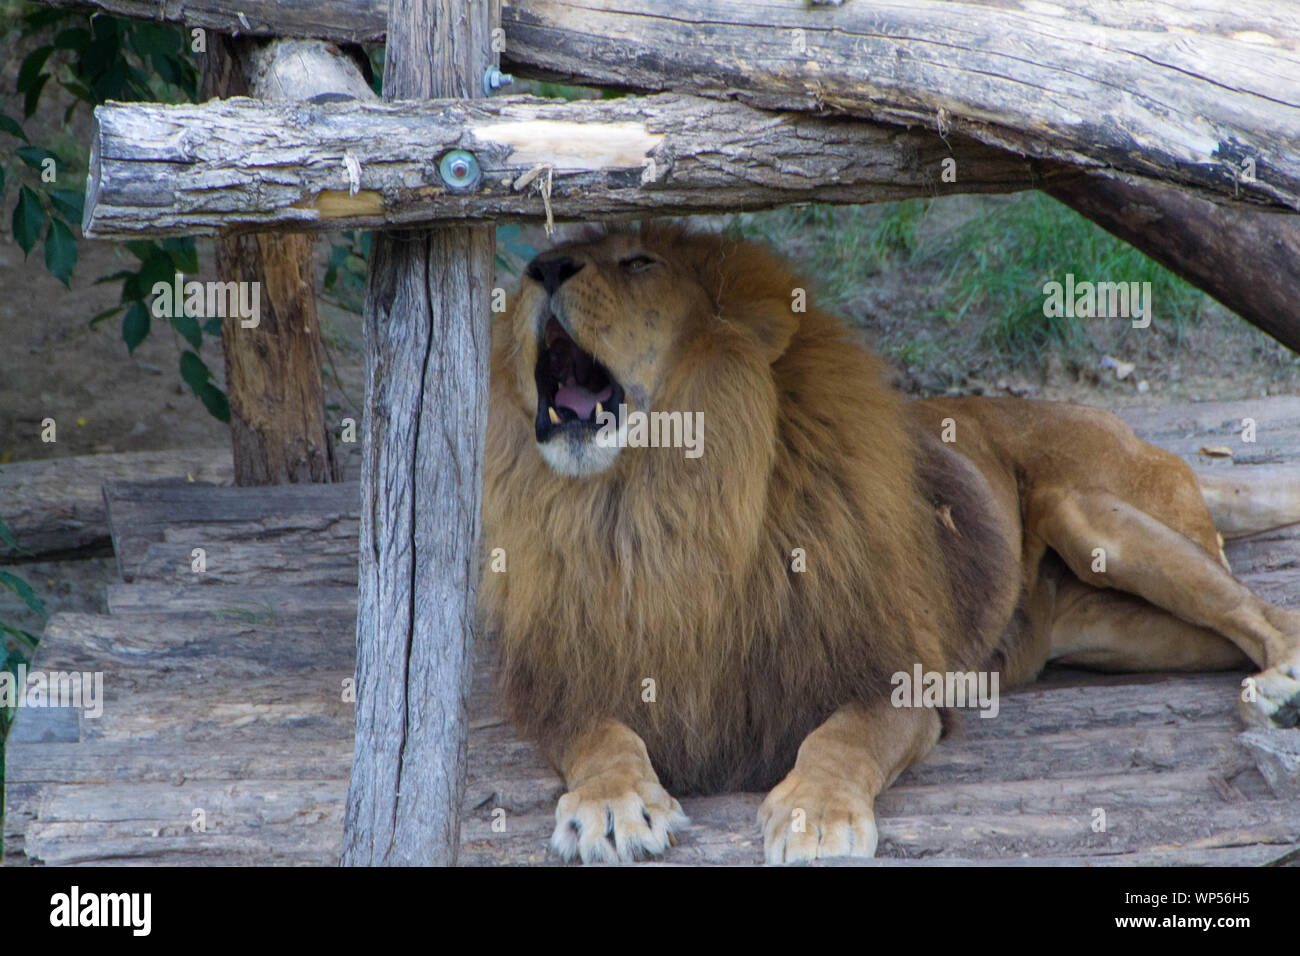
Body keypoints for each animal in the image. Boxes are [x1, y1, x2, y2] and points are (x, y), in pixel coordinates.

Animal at [479, 221, 1300, 864]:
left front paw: (816, 815)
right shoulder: (562, 675)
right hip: (1122, 630)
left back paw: (1280, 693)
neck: (648, 505)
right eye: (547, 257)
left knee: (1267, 613)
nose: (541, 269)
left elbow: (842, 737)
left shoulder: (895, 674)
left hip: (1096, 516)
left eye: (639, 262)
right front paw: (612, 804)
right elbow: (597, 734)